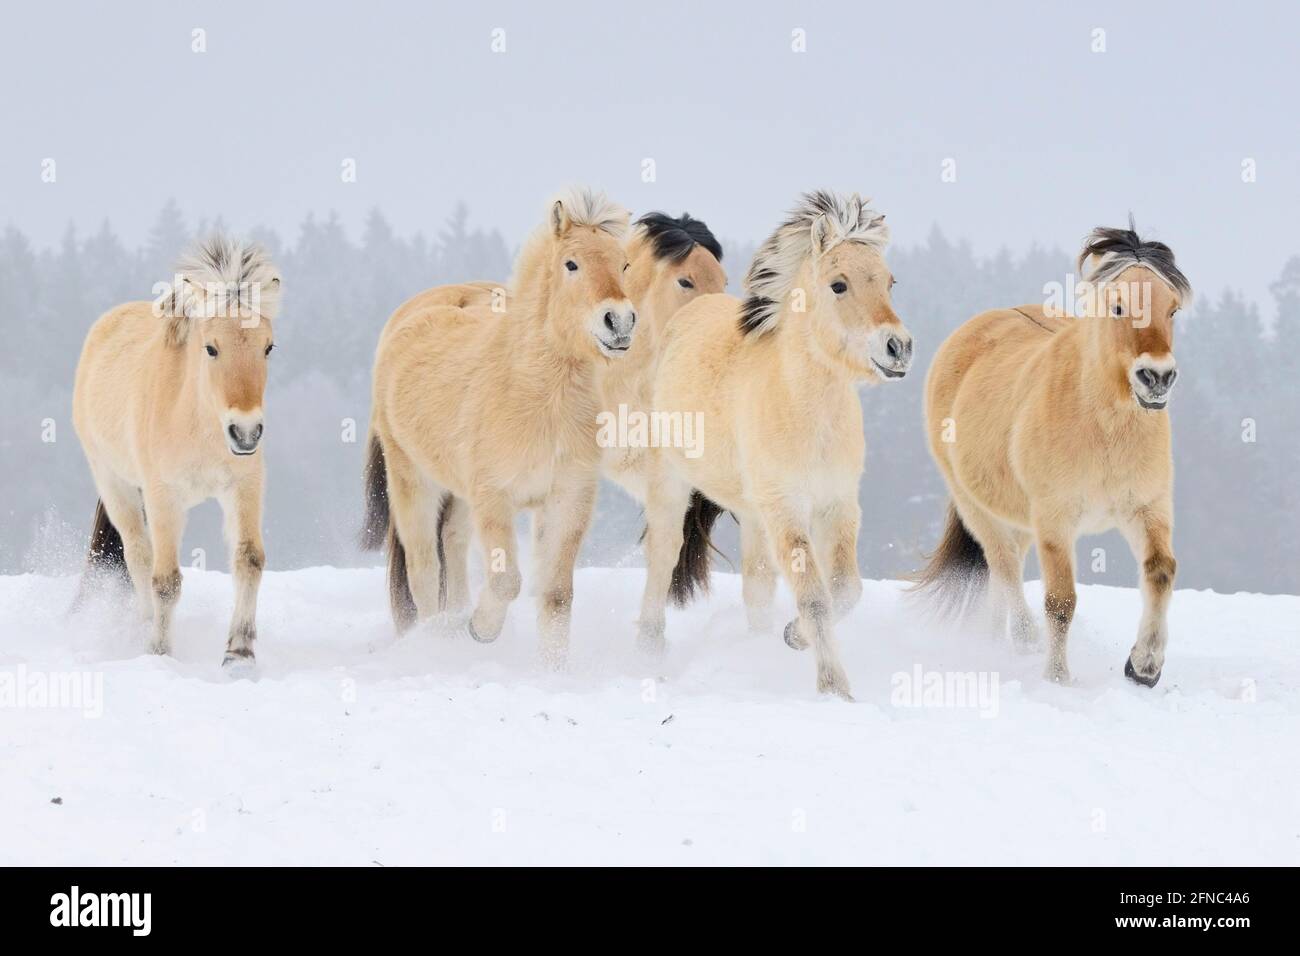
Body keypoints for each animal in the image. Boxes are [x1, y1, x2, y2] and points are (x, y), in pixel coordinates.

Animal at [72, 236, 281, 668]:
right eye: (211, 348)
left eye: (268, 347)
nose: (246, 432)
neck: (199, 425)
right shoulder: (163, 497)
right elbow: (165, 580)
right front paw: (159, 651)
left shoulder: (245, 485)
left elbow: (249, 559)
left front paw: (239, 652)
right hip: (115, 485)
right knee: (138, 554)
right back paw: (143, 627)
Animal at [362, 187, 637, 665]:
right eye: (571, 264)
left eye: (624, 264)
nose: (619, 322)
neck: (536, 397)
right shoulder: (495, 498)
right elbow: (507, 580)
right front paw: (482, 630)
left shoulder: (567, 500)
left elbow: (556, 594)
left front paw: (553, 669)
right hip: (412, 480)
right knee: (423, 568)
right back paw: (436, 640)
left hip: (458, 494)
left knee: (451, 545)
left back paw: (454, 625)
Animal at [638, 192, 914, 698]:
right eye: (838, 284)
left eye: (889, 281)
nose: (898, 348)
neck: (806, 412)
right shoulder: (787, 509)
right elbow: (815, 596)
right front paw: (835, 688)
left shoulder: (838, 506)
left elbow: (845, 589)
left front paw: (792, 637)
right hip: (671, 484)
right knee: (663, 556)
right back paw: (648, 651)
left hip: (752, 514)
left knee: (757, 586)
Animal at [915, 219, 1191, 686]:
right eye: (1118, 307)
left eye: (1172, 309)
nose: (1157, 377)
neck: (1105, 428)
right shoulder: (1056, 519)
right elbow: (1061, 602)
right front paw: (1057, 678)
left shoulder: (1148, 508)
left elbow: (1159, 571)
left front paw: (1144, 666)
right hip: (977, 506)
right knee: (1004, 564)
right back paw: (1023, 638)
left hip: (1020, 517)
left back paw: (996, 638)